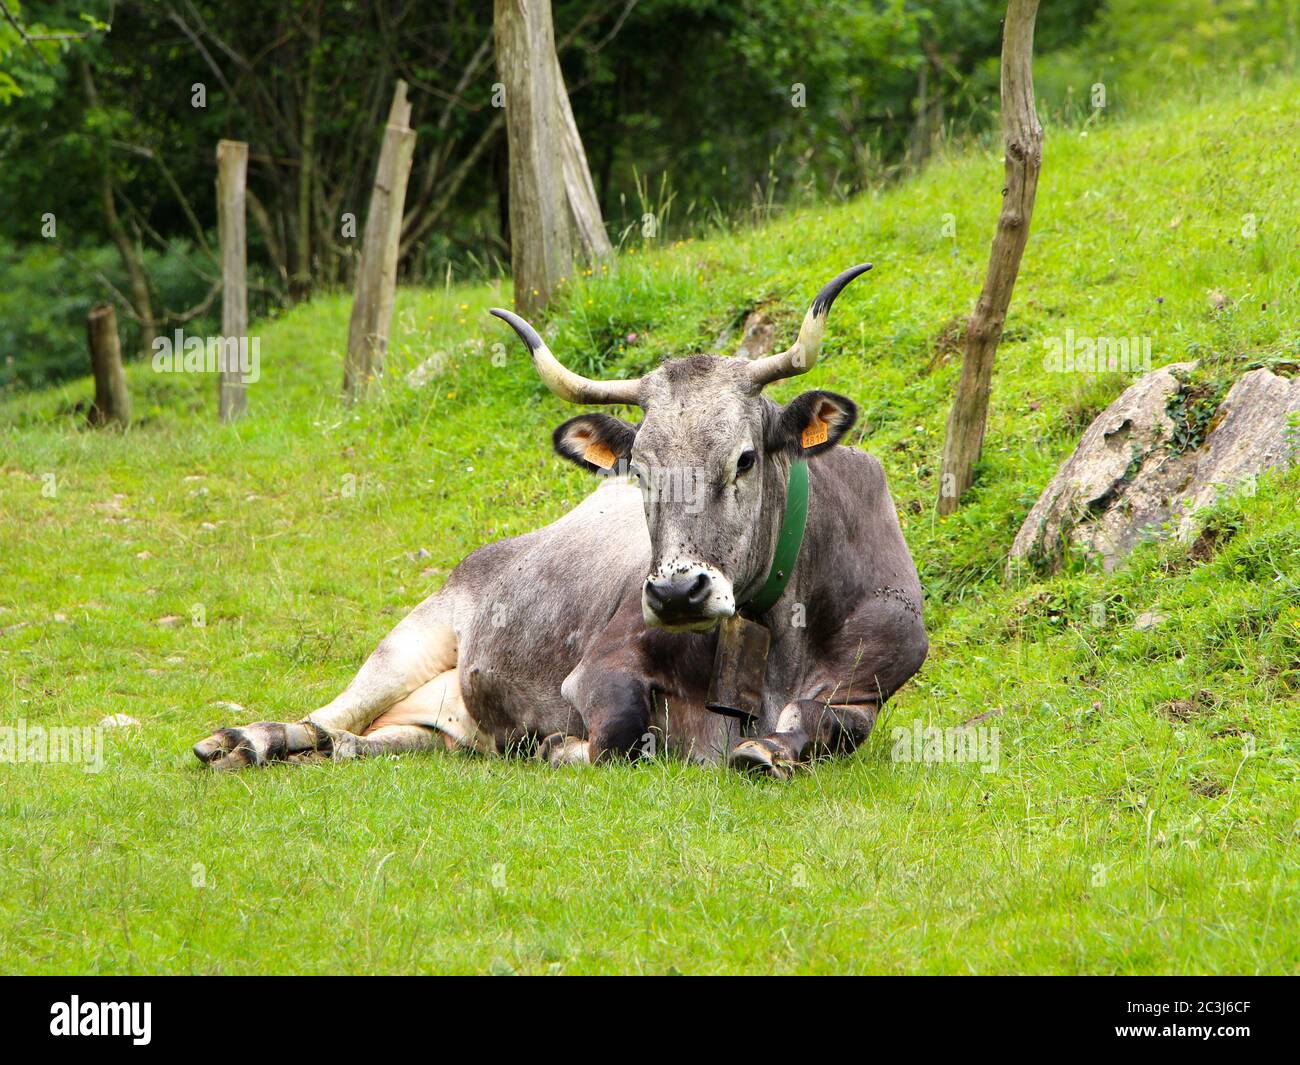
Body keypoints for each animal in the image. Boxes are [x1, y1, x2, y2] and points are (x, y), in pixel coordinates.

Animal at [192, 265, 928, 779]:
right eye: (640, 470)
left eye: (744, 458)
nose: (676, 592)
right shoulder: (601, 666)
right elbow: (619, 737)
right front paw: (557, 746)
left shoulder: (868, 690)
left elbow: (828, 726)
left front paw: (768, 749)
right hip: (412, 637)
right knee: (323, 714)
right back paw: (243, 739)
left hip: (435, 727)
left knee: (359, 738)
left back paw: (341, 749)